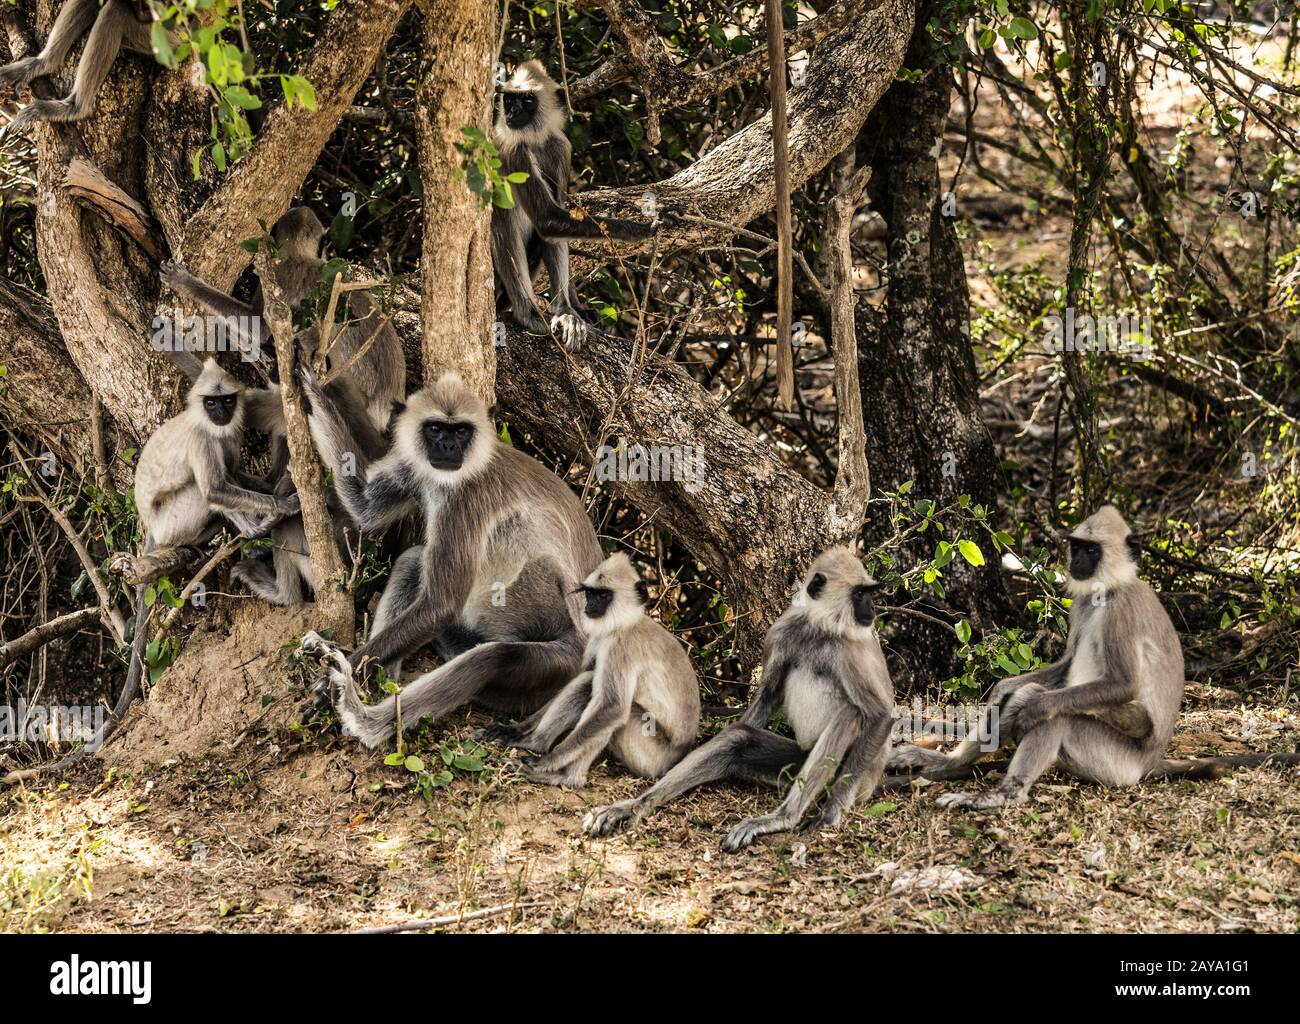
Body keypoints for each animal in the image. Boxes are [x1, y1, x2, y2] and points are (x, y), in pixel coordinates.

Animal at [296, 370, 604, 745]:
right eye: (435, 429)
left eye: (460, 432)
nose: (447, 447)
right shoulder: (414, 467)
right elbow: (364, 507)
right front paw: (311, 391)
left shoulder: (466, 497)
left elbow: (440, 605)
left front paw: (330, 686)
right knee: (413, 561)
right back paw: (379, 679)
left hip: (555, 647)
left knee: (491, 657)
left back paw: (363, 717)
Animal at [470, 552, 700, 787]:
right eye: (590, 593)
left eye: (604, 595)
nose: (590, 605)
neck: (625, 622)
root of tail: (678, 755)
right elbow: (580, 677)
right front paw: (516, 730)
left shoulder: (621, 646)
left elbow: (613, 707)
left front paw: (545, 763)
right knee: (587, 682)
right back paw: (535, 743)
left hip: (649, 752)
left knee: (613, 712)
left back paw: (567, 777)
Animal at [492, 60, 656, 352]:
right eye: (509, 99)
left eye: (527, 100)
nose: (512, 112)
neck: (534, 140)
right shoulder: (513, 150)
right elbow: (547, 219)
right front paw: (638, 230)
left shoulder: (560, 148)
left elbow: (555, 223)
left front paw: (571, 309)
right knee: (503, 222)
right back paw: (526, 312)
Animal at [583, 547, 896, 852]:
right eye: (860, 594)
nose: (871, 610)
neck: (819, 627)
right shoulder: (782, 630)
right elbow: (767, 697)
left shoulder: (850, 649)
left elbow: (881, 716)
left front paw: (832, 812)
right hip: (795, 762)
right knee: (739, 737)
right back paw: (637, 805)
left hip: (863, 776)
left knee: (849, 715)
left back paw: (784, 817)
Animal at [887, 505, 1300, 807]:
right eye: (1075, 546)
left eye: (1092, 549)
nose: (1077, 563)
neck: (1109, 588)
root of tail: (1150, 763)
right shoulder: (1083, 604)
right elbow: (1059, 667)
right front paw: (1002, 688)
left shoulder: (1121, 613)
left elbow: (1121, 685)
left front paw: (1031, 709)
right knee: (1026, 697)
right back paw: (950, 763)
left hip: (1117, 763)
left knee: (1055, 713)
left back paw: (1004, 795)